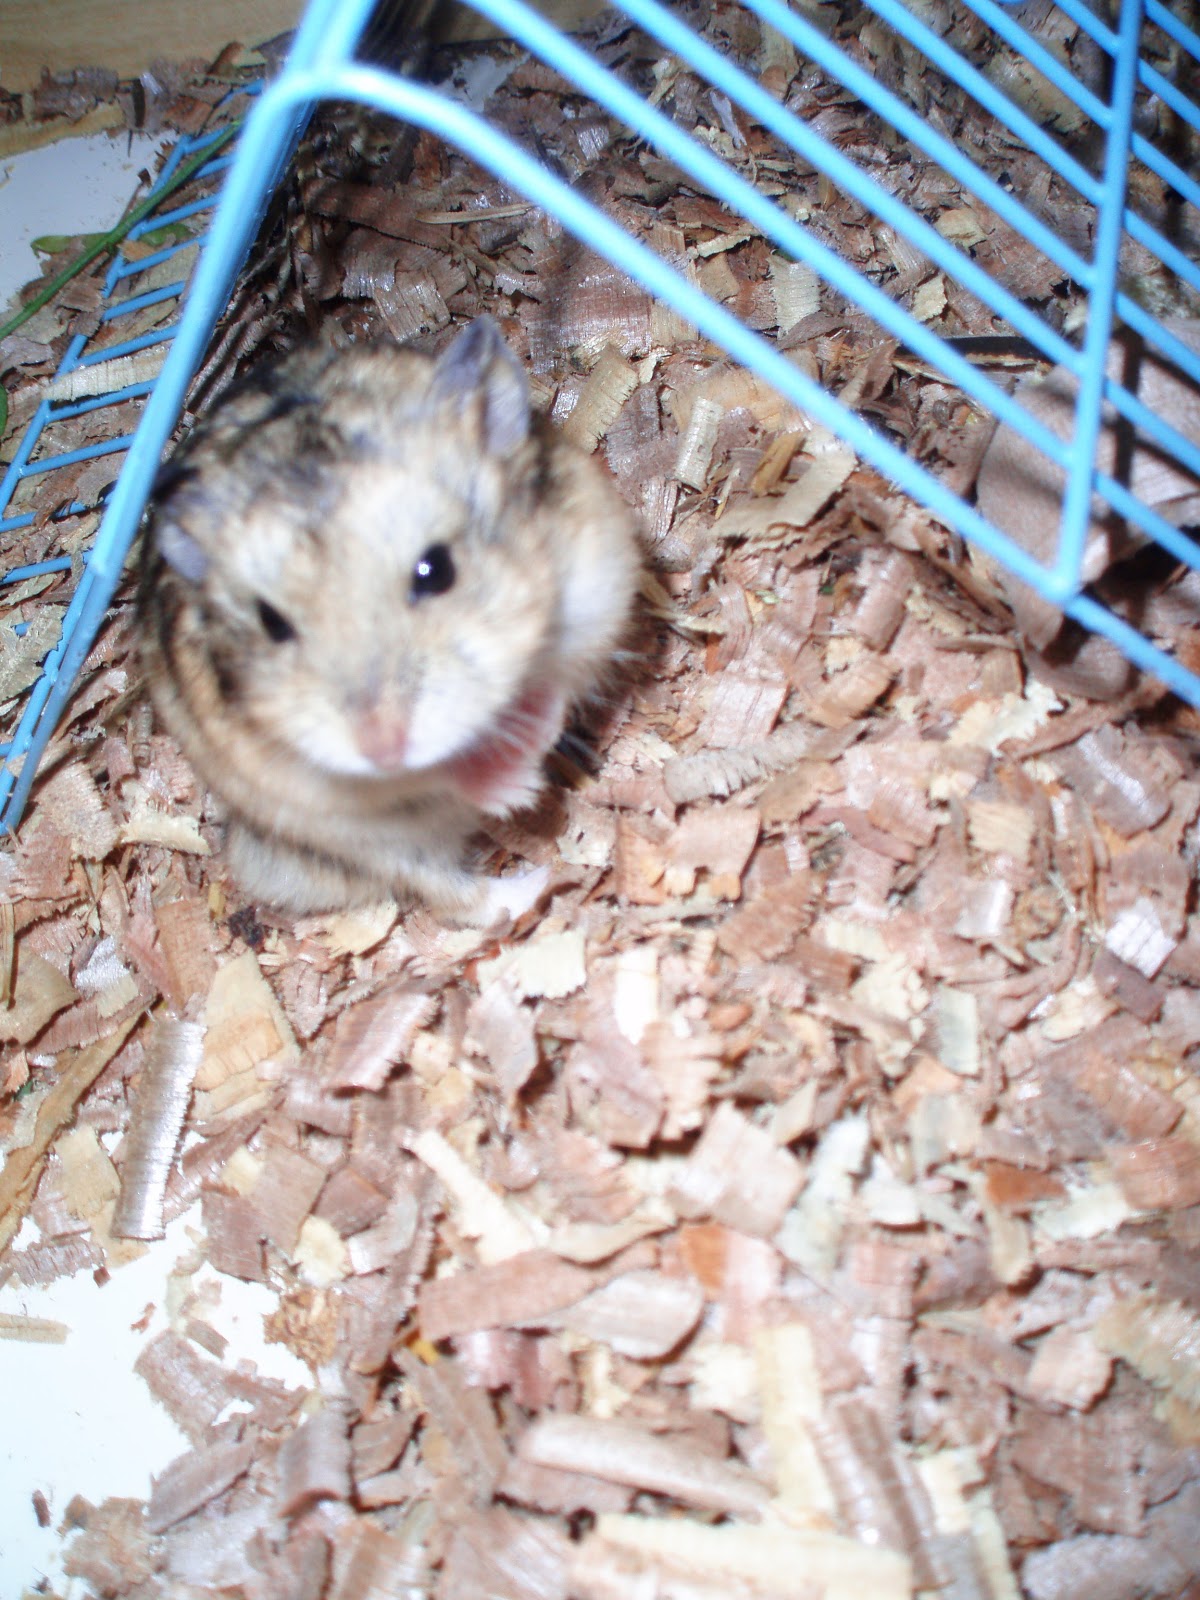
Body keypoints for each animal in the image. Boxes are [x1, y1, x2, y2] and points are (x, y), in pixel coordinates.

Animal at [137, 317, 640, 922]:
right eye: (271, 622)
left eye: (436, 569)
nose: (381, 749)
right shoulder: (294, 777)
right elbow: (429, 775)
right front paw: (514, 784)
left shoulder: (596, 600)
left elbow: (557, 687)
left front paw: (529, 740)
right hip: (365, 843)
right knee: (457, 895)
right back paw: (543, 879)